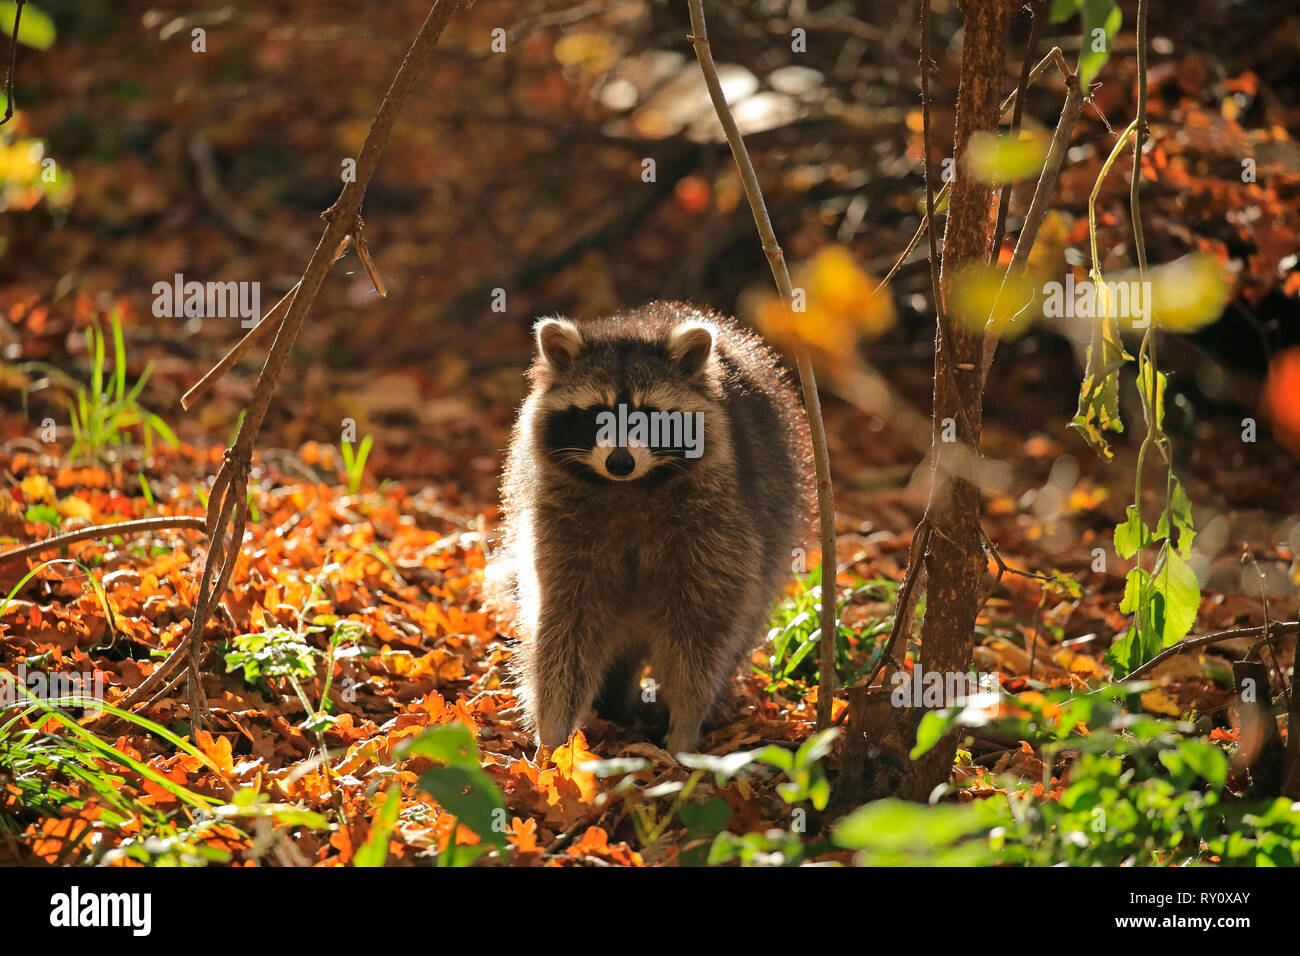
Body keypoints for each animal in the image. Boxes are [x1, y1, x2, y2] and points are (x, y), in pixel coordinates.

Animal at [488, 302, 813, 754]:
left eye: (650, 417)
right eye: (597, 415)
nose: (620, 462)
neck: (629, 487)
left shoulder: (720, 520)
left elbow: (702, 628)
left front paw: (684, 726)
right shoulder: (558, 520)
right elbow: (564, 624)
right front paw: (553, 738)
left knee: (739, 620)